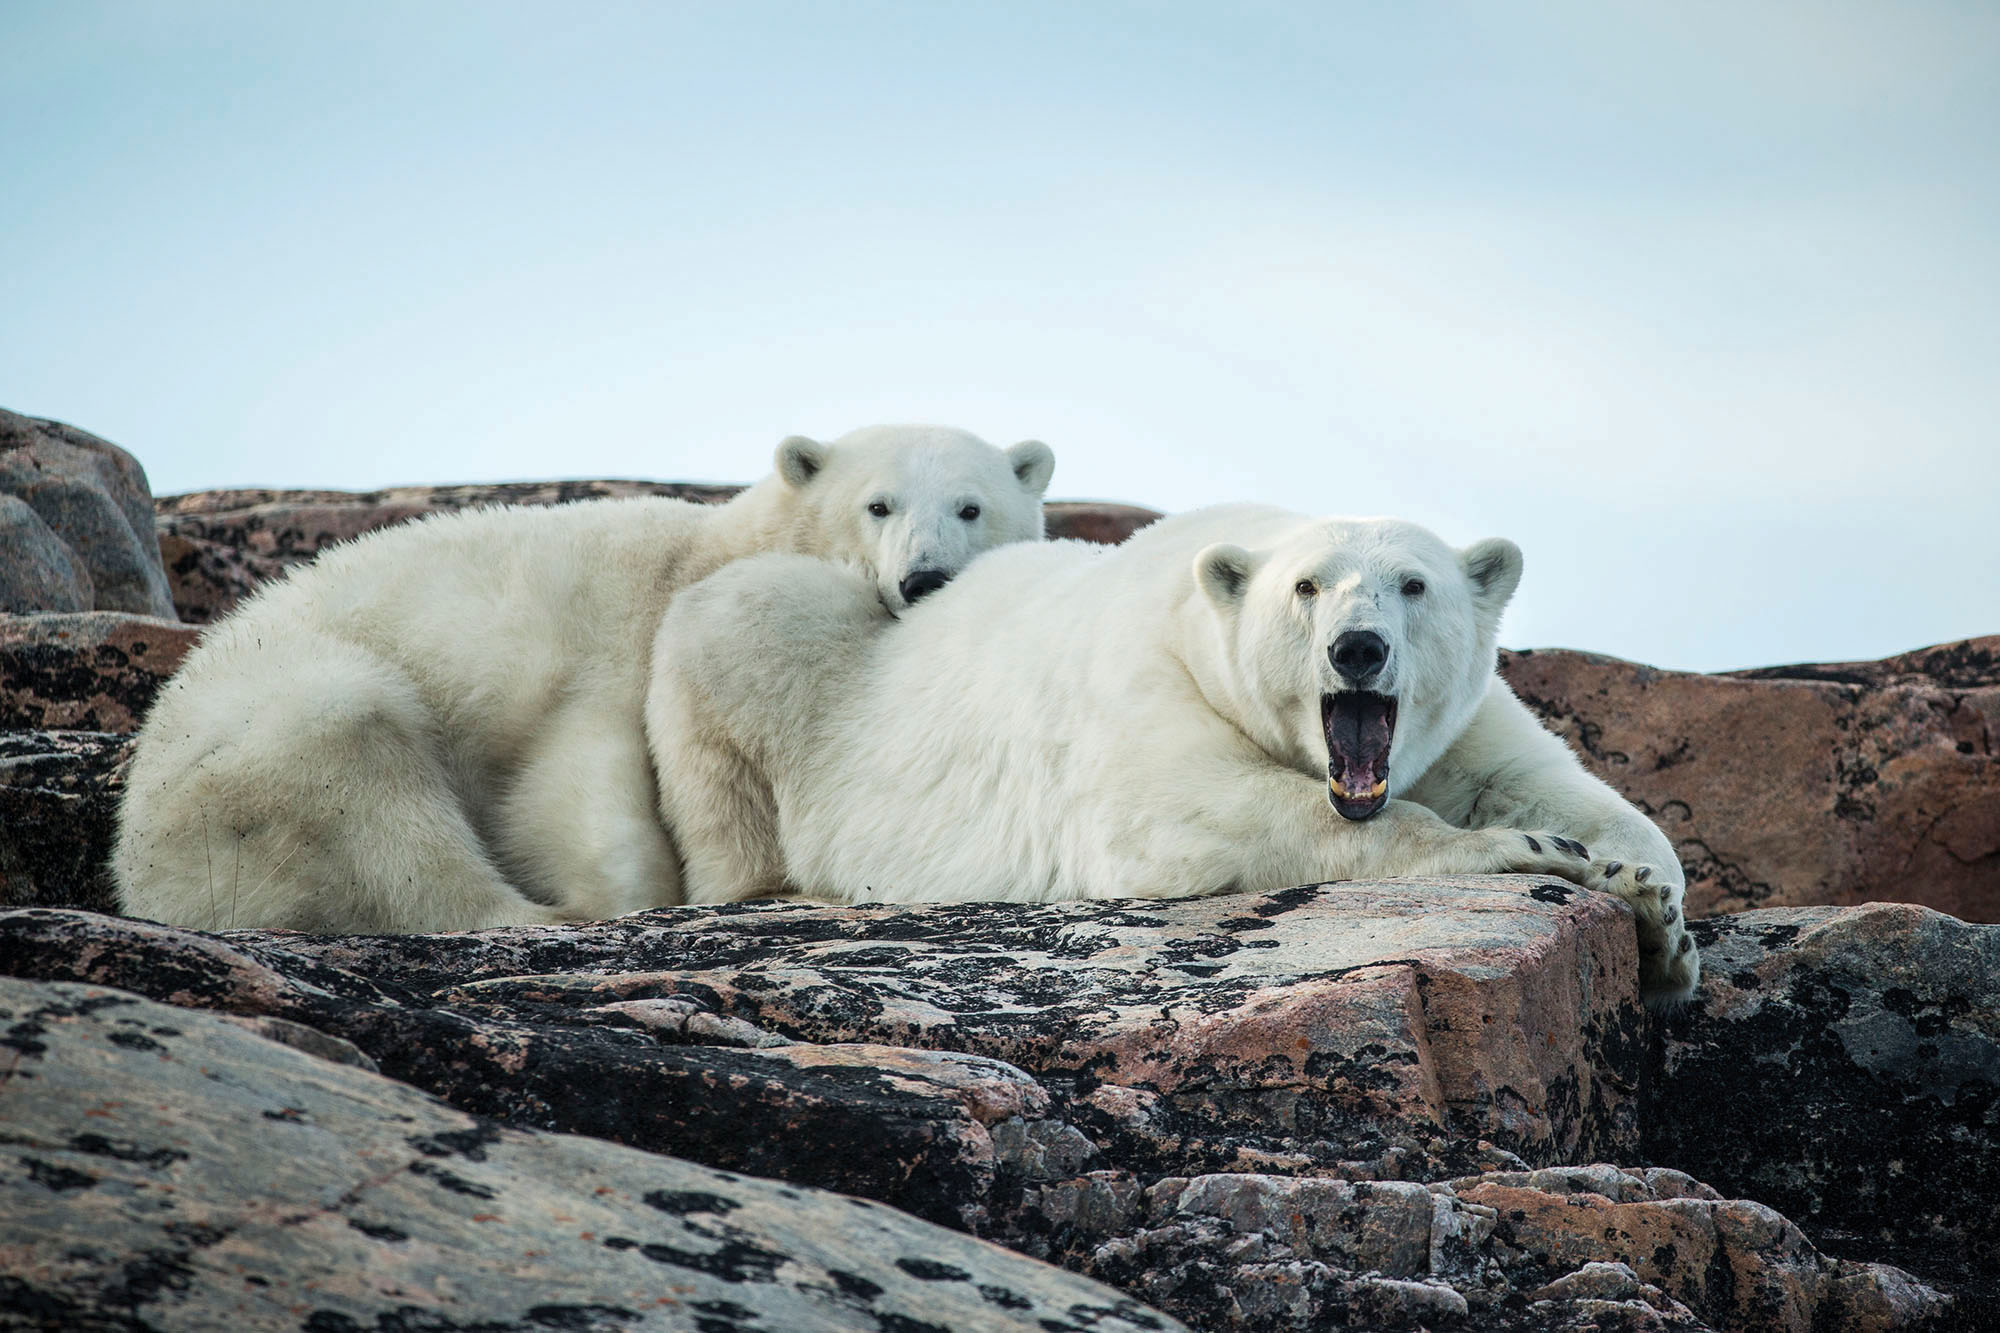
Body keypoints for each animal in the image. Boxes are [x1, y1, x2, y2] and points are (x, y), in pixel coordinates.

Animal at [114, 424, 1056, 934]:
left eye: (972, 506)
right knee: (367, 774)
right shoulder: (608, 652)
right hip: (258, 735)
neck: (710, 550)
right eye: (878, 503)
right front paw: (620, 893)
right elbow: (572, 782)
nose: (924, 578)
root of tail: (132, 862)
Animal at [647, 503, 1699, 1006]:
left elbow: (1548, 784)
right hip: (776, 661)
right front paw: (1537, 853)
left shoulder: (1464, 719)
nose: (1358, 648)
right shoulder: (1153, 680)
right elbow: (1179, 809)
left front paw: (1658, 917)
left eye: (1413, 583)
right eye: (1306, 587)